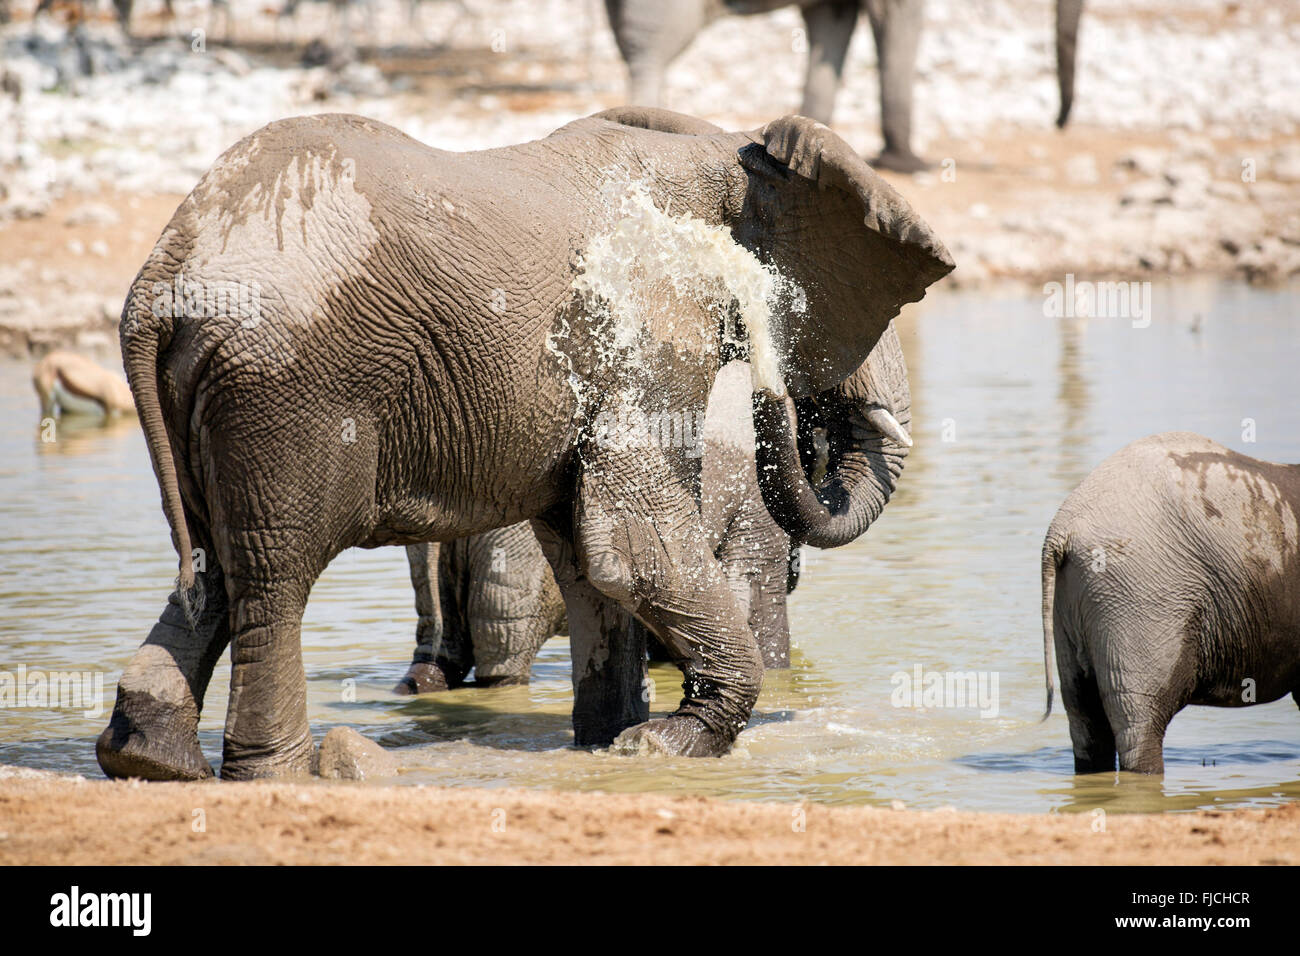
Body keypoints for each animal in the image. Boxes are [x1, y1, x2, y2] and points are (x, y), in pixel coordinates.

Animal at [96, 105, 952, 781]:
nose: (790, 401)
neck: (718, 151)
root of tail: (162, 273)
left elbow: (587, 555)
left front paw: (608, 745)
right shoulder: (643, 330)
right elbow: (632, 544)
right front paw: (662, 746)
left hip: (215, 395)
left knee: (211, 567)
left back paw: (148, 760)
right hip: (286, 393)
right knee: (274, 578)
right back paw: (276, 776)